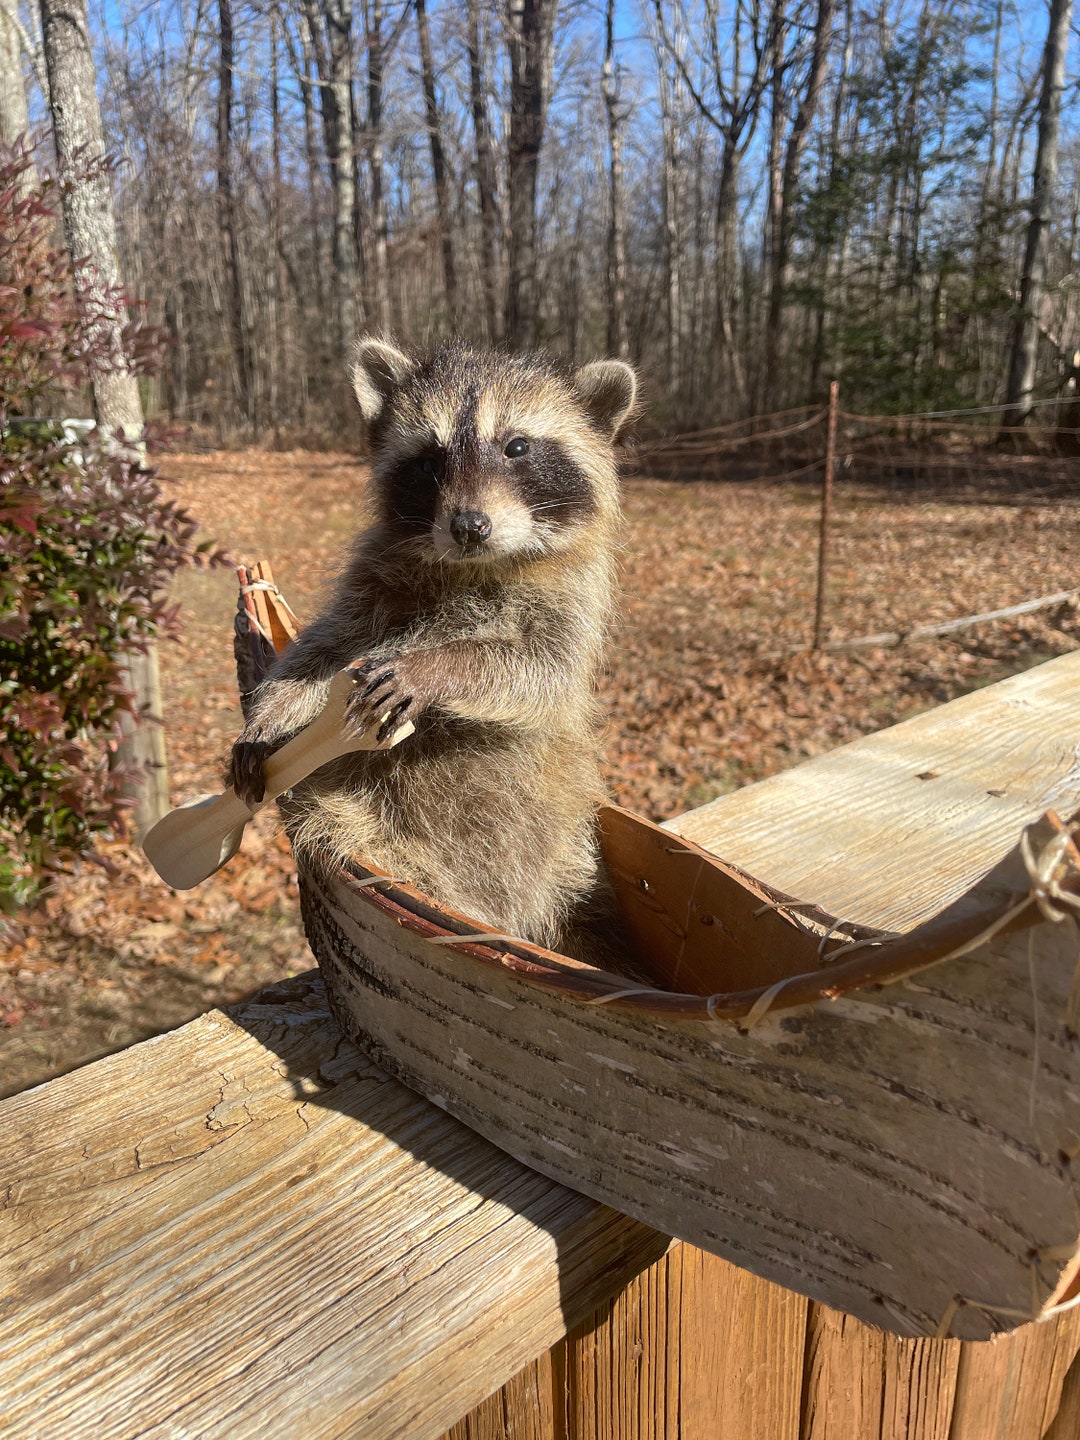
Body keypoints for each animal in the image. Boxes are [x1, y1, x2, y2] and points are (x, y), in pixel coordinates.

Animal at [227, 337, 636, 962]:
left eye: (517, 446)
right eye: (428, 459)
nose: (468, 526)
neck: (474, 565)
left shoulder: (574, 597)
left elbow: (544, 669)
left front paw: (434, 667)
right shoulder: (372, 583)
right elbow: (323, 651)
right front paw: (270, 714)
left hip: (565, 856)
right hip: (371, 831)